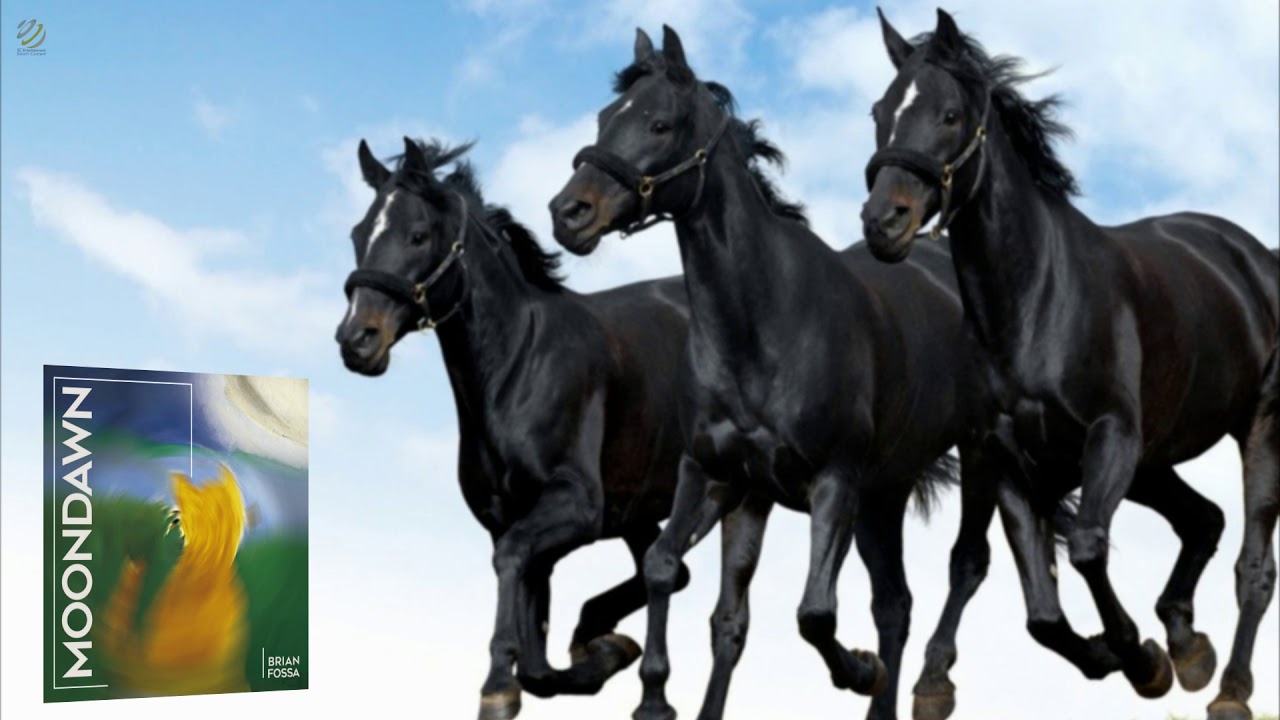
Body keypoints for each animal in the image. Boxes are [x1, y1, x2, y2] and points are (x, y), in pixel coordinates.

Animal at [335, 137, 713, 720]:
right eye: (359, 234)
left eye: (418, 234)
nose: (357, 340)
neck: (520, 365)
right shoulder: (514, 518)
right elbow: (536, 657)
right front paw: (595, 655)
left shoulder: (574, 507)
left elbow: (512, 564)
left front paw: (497, 685)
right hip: (638, 508)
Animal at [549, 26, 982, 720]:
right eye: (604, 116)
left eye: (659, 124)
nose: (569, 212)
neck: (763, 325)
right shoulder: (721, 477)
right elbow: (684, 583)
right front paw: (655, 699)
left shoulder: (833, 484)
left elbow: (814, 613)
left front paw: (860, 670)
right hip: (884, 493)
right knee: (894, 603)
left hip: (979, 454)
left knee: (964, 565)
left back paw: (928, 684)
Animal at [862, 11, 1279, 720]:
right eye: (879, 112)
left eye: (949, 114)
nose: (883, 223)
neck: (1038, 300)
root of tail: (1255, 258)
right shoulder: (1009, 458)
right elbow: (1041, 614)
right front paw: (1127, 655)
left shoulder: (1109, 436)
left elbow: (1085, 547)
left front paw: (1141, 659)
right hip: (1153, 461)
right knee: (1204, 519)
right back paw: (1189, 646)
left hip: (1256, 427)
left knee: (1253, 563)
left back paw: (1229, 689)